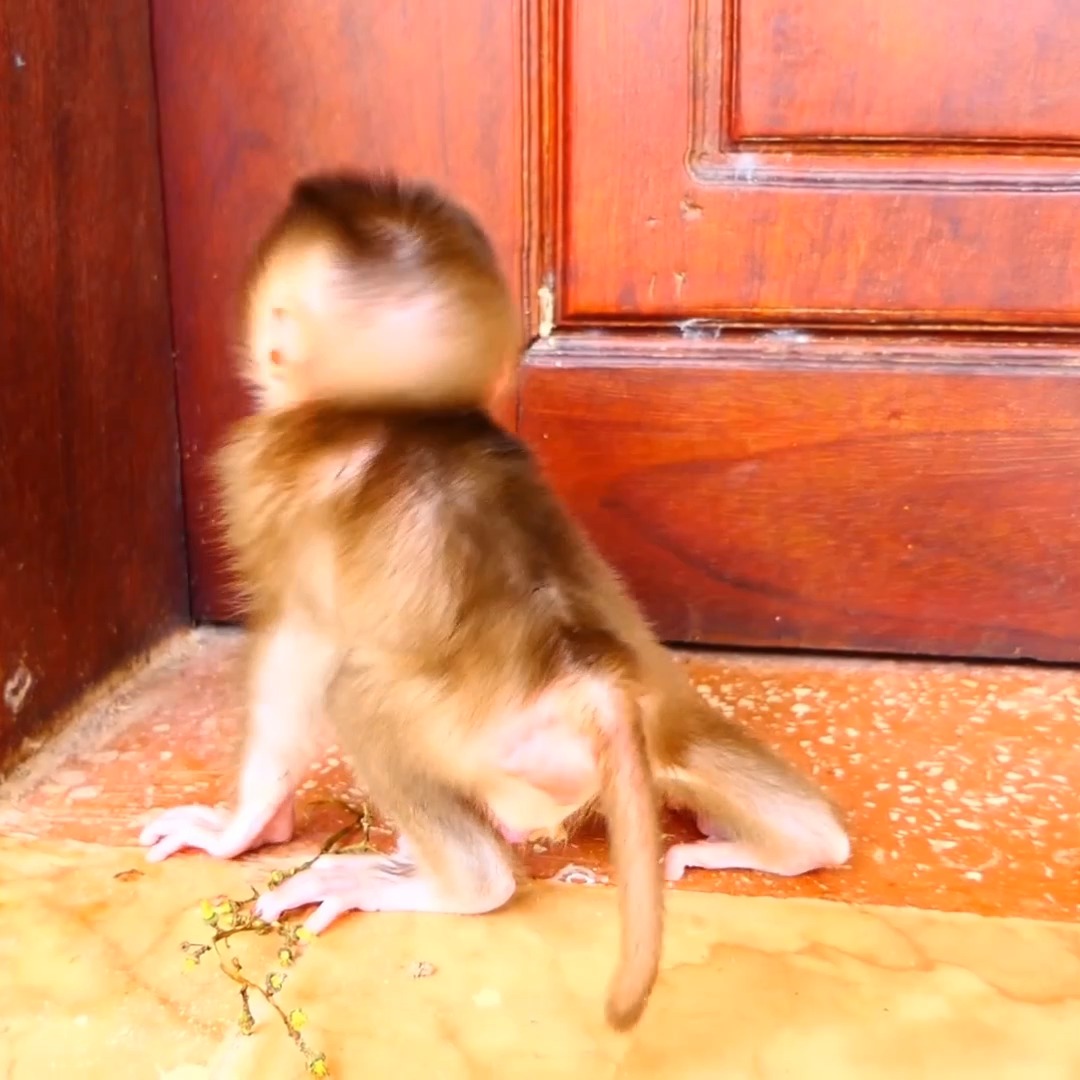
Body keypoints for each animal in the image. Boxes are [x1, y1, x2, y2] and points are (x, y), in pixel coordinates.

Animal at [138, 172, 850, 1031]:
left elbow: (293, 657)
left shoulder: (259, 475)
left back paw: (455, 882)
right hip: (661, 718)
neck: (393, 408)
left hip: (477, 737)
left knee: (361, 701)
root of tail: (590, 677)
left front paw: (242, 828)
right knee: (785, 811)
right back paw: (786, 843)